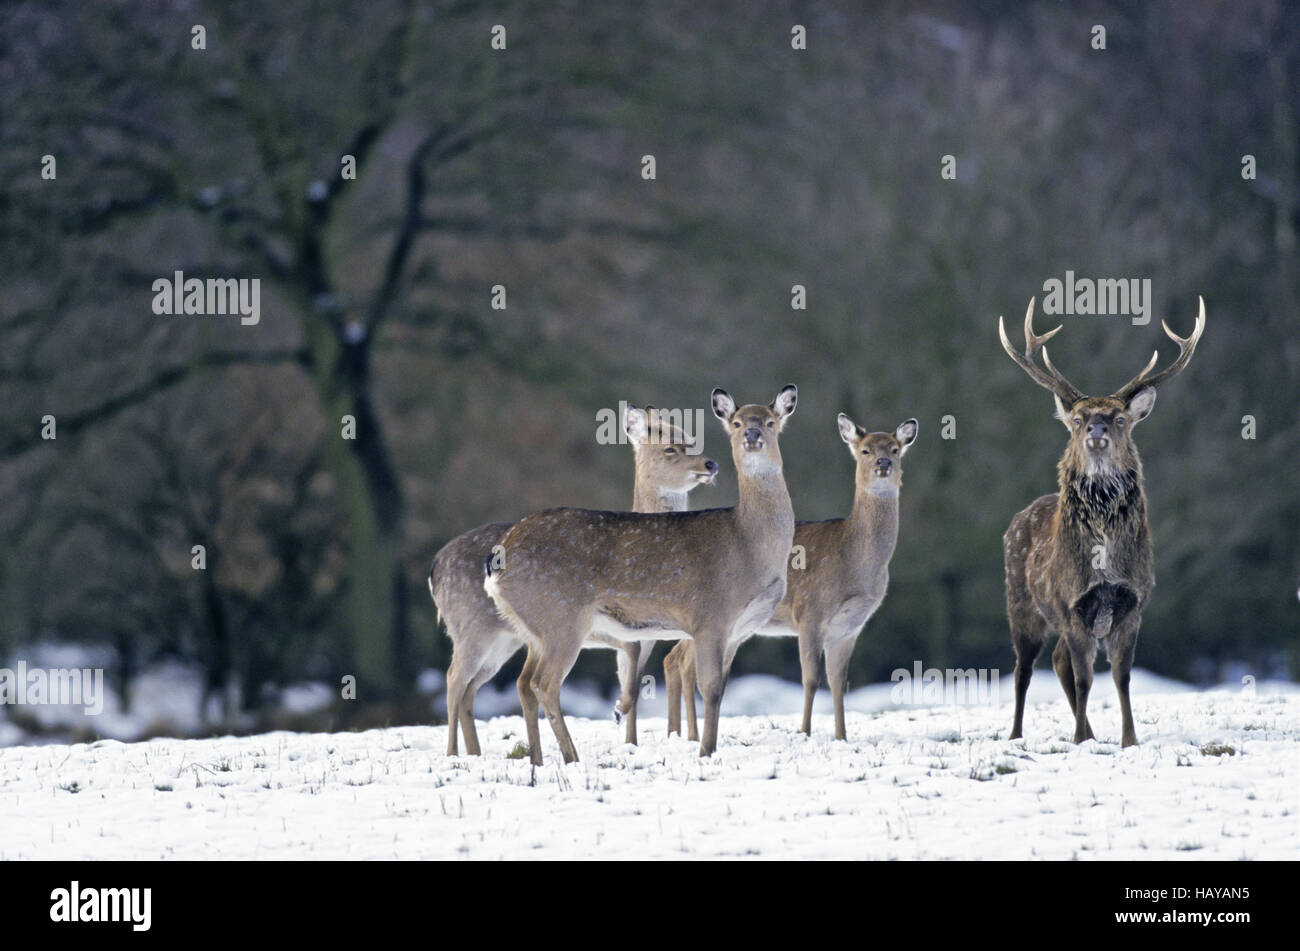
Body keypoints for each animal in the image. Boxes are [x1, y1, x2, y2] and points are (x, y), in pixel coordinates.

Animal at [430, 404, 717, 757]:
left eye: (690, 438)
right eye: (670, 448)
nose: (710, 464)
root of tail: (435, 568)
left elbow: (633, 676)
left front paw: (630, 738)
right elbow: (633, 674)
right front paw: (621, 719)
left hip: (505, 640)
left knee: (483, 686)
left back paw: (487, 752)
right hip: (475, 629)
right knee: (457, 679)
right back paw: (457, 753)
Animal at [484, 385, 798, 764]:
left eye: (770, 422)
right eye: (736, 423)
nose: (752, 435)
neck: (749, 544)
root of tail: (498, 557)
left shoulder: (738, 631)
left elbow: (721, 689)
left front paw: (708, 747)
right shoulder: (711, 617)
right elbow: (709, 688)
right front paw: (705, 751)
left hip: (534, 629)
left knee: (524, 681)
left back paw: (539, 758)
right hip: (560, 618)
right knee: (544, 684)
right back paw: (572, 757)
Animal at [663, 413, 918, 742]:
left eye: (896, 449)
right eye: (865, 451)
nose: (883, 463)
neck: (854, 563)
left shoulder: (850, 627)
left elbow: (839, 682)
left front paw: (841, 736)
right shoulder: (810, 611)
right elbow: (811, 679)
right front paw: (805, 731)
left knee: (673, 659)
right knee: (680, 662)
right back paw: (690, 736)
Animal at [1000, 296, 1205, 748]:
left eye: (1121, 418)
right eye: (1077, 419)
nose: (1096, 428)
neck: (1104, 563)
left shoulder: (1132, 604)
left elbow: (1121, 679)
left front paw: (1129, 740)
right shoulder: (1073, 604)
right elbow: (1084, 680)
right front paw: (1079, 741)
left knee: (1058, 659)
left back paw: (1089, 731)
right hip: (1021, 603)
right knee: (1024, 669)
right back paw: (1016, 735)